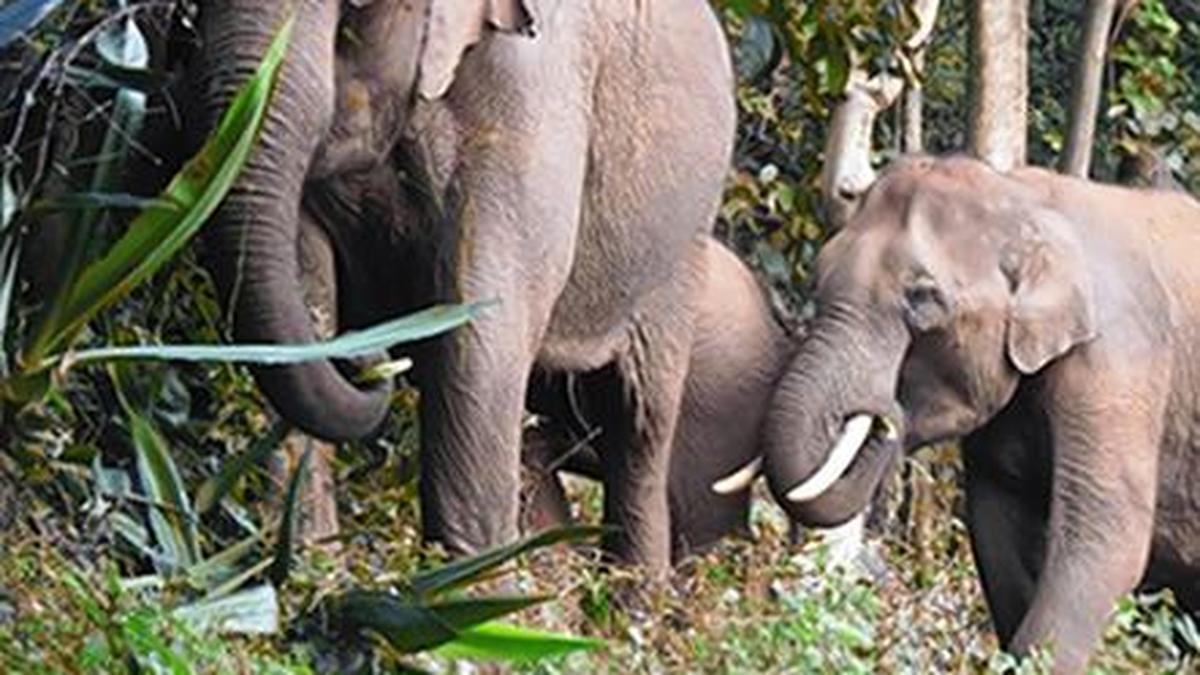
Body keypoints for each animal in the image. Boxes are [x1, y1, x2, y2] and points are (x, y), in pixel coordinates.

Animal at [184, 0, 736, 570]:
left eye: (355, 9)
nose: (366, 357)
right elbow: (304, 279)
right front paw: (305, 574)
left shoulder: (526, 99)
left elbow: (482, 333)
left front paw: (466, 590)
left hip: (680, 253)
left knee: (636, 424)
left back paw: (631, 594)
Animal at [723, 155, 1200, 671]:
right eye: (819, 274)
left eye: (922, 297)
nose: (883, 414)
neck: (1028, 199)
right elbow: (997, 526)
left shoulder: (1120, 361)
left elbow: (1104, 539)